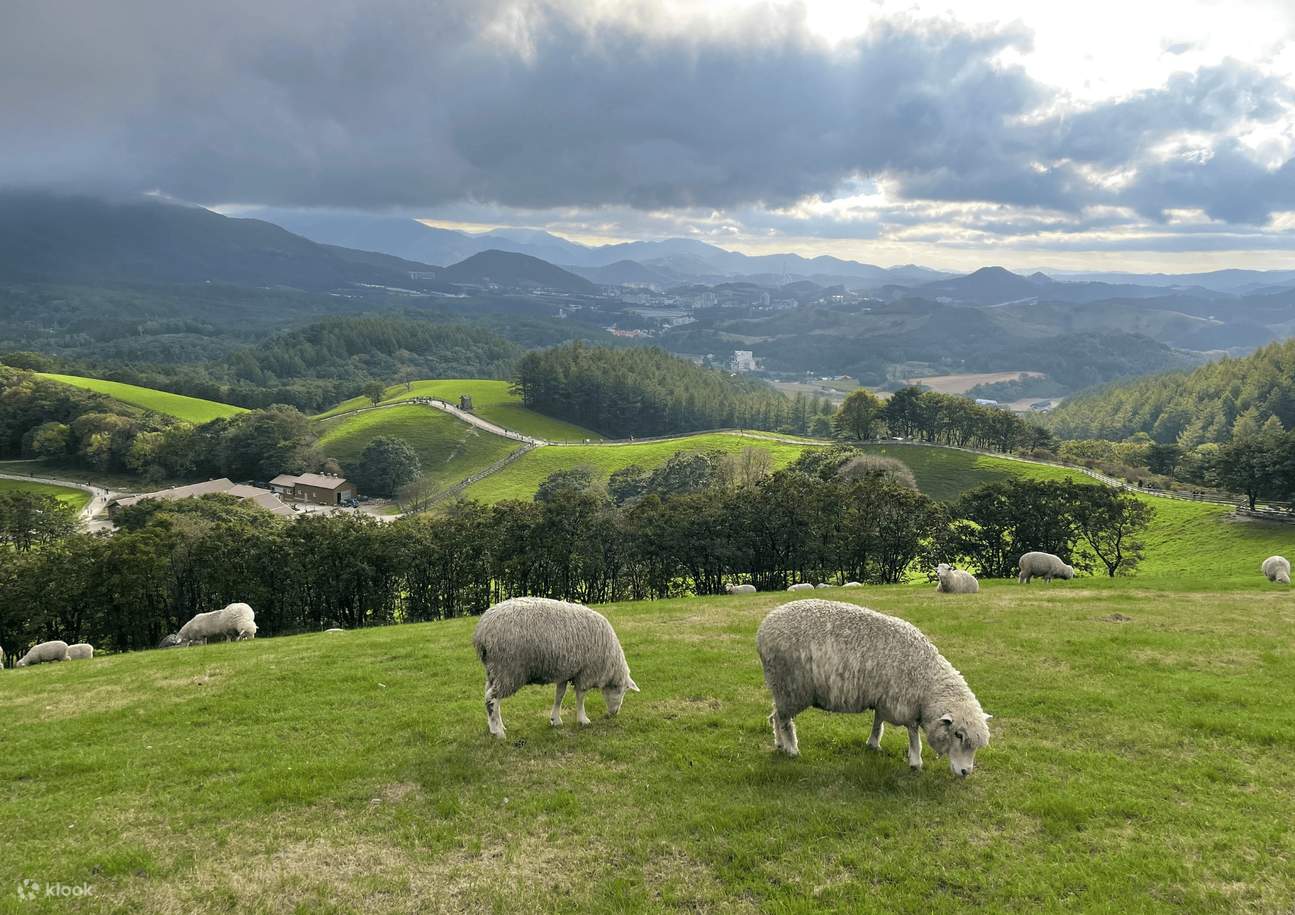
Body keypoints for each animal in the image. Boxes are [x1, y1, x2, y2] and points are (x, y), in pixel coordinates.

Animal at [473, 597, 639, 739]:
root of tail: (482, 633)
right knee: (492, 698)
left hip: (494, 671)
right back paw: (499, 733)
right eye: (621, 691)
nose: (614, 714)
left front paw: (555, 720)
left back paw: (495, 726)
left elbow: (559, 695)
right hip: (508, 670)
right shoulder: (586, 672)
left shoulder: (565, 671)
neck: (610, 663)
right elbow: (580, 697)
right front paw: (583, 719)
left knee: (489, 695)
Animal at [756, 600, 991, 777]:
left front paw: (873, 744)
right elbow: (912, 732)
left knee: (775, 715)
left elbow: (878, 722)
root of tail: (764, 628)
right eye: (958, 735)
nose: (965, 772)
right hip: (791, 687)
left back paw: (780, 745)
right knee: (785, 720)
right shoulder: (903, 702)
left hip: (780, 687)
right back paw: (792, 749)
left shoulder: (884, 698)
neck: (927, 680)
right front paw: (915, 761)